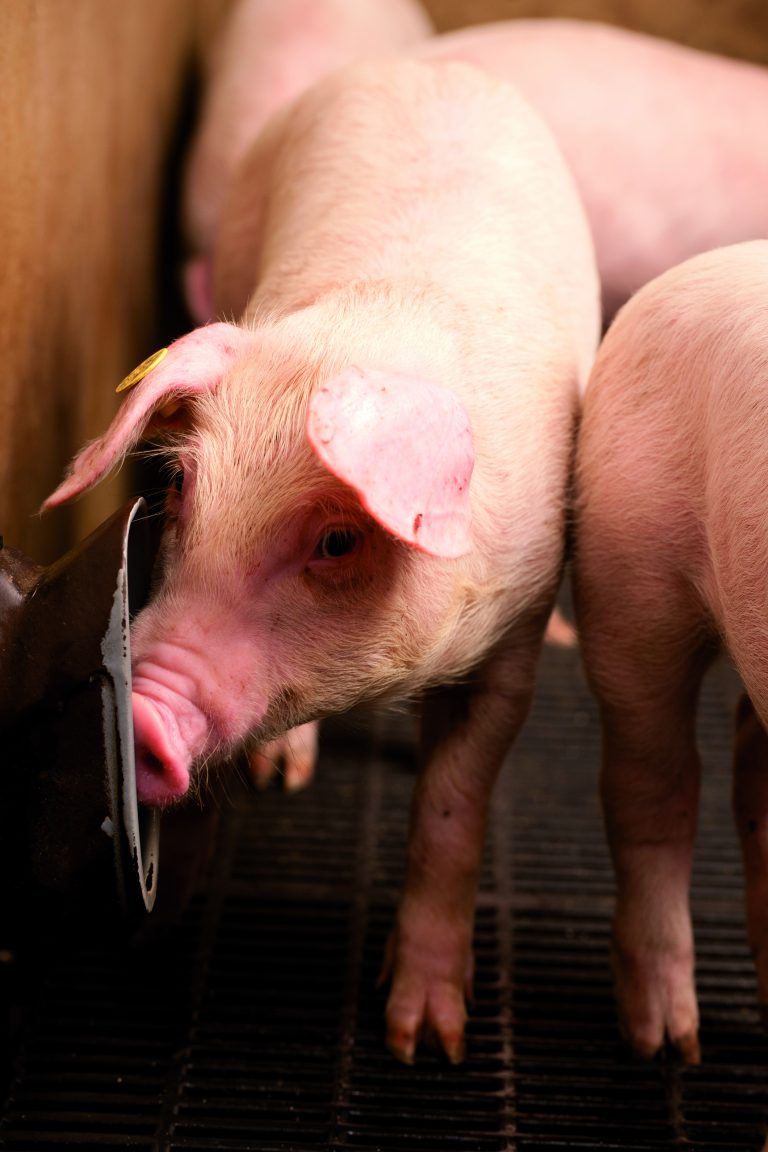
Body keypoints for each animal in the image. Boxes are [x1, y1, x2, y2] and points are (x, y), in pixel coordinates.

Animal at [45, 57, 600, 1063]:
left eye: (337, 540)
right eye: (179, 488)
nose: (139, 705)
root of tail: (420, 62)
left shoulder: (514, 630)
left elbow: (454, 809)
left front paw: (423, 1045)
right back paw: (284, 774)